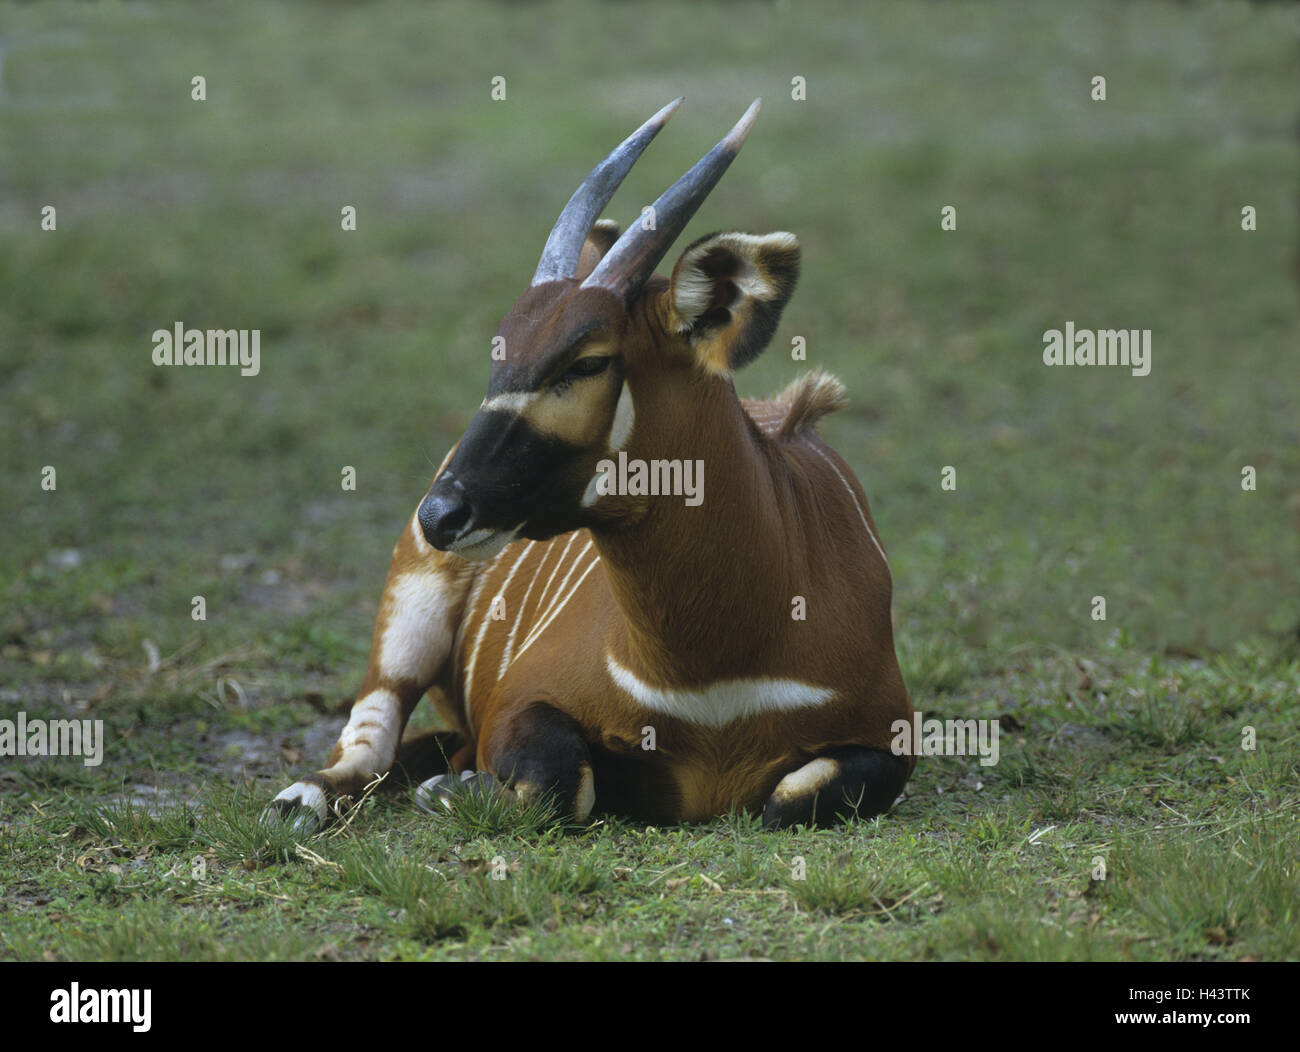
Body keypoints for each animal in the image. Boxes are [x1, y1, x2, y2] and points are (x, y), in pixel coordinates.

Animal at [271, 98, 915, 831]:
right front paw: (452, 791)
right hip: (407, 619)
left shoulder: (888, 740)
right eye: (500, 353)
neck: (713, 672)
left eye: (588, 361)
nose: (440, 512)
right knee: (370, 742)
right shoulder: (524, 699)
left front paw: (452, 786)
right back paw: (301, 799)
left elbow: (789, 798)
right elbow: (561, 781)